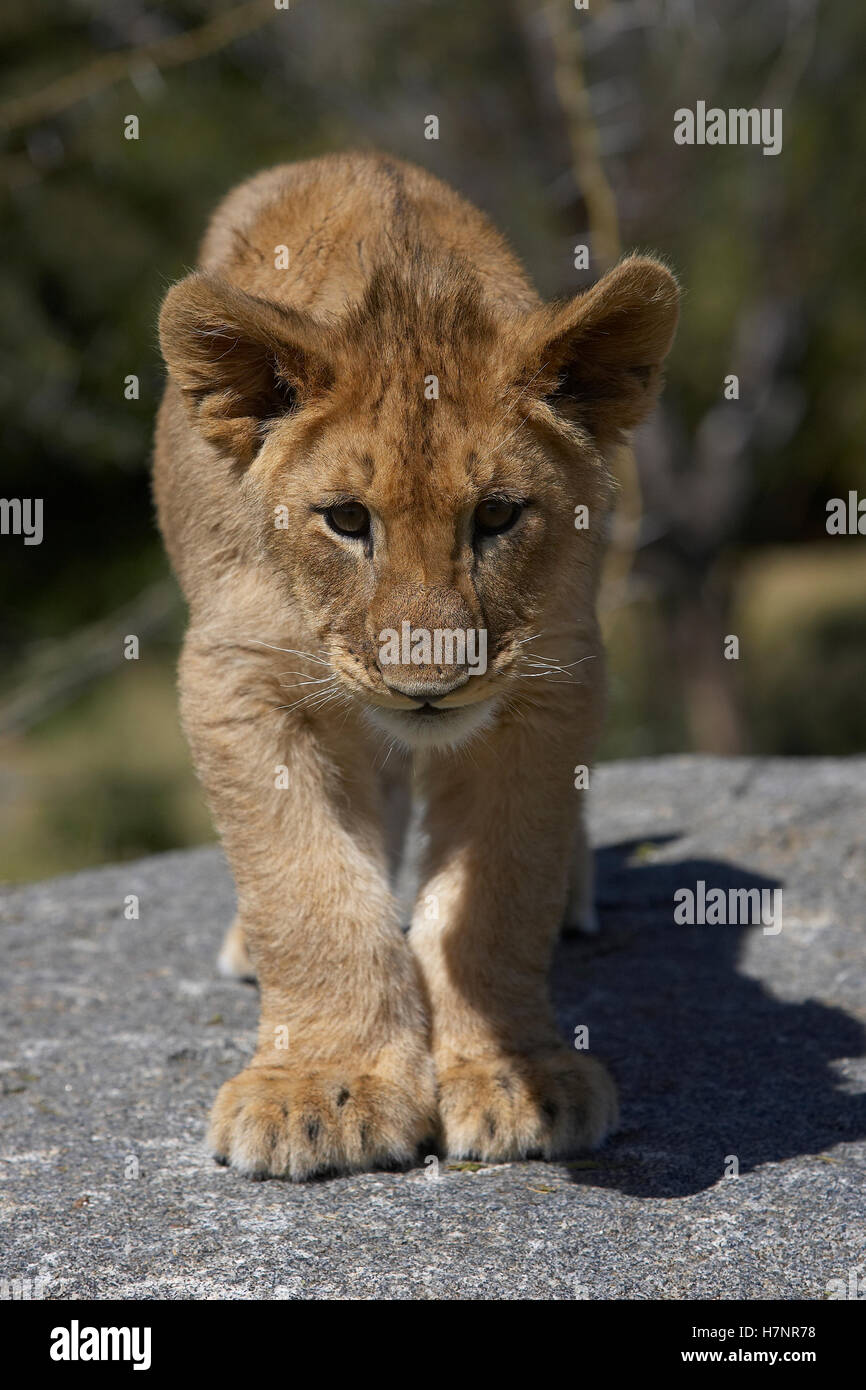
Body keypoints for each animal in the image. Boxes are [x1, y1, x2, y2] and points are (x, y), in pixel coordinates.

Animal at [154, 152, 679, 1179]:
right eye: (347, 520)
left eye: (499, 515)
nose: (427, 688)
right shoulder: (237, 675)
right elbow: (307, 887)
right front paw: (323, 1088)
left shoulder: (552, 675)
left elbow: (498, 894)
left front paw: (516, 1076)